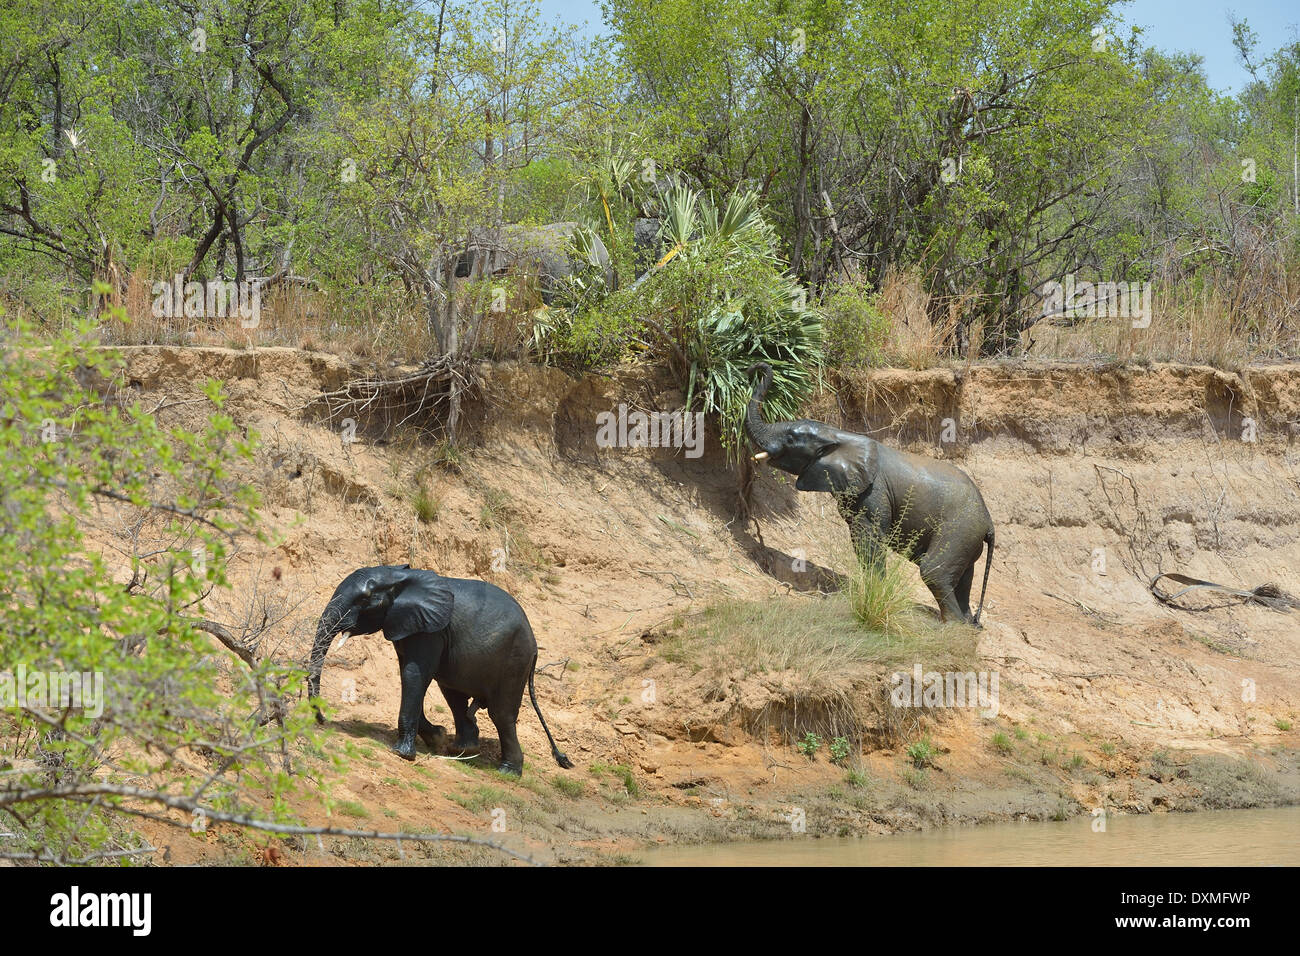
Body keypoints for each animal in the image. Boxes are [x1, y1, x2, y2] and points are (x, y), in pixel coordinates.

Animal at [307, 565, 573, 775]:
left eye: (364, 599)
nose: (321, 719)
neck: (397, 575)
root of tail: (536, 645)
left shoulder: (431, 630)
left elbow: (414, 675)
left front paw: (402, 754)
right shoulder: (409, 624)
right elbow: (410, 674)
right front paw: (437, 737)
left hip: (514, 660)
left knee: (501, 713)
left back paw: (507, 771)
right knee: (454, 695)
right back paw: (462, 749)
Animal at [744, 364, 995, 625]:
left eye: (791, 438)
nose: (753, 368)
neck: (838, 435)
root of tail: (989, 523)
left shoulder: (875, 492)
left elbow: (870, 537)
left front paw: (876, 590)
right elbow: (859, 539)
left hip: (959, 529)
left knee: (933, 570)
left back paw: (951, 625)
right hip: (968, 538)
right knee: (964, 577)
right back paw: (968, 624)